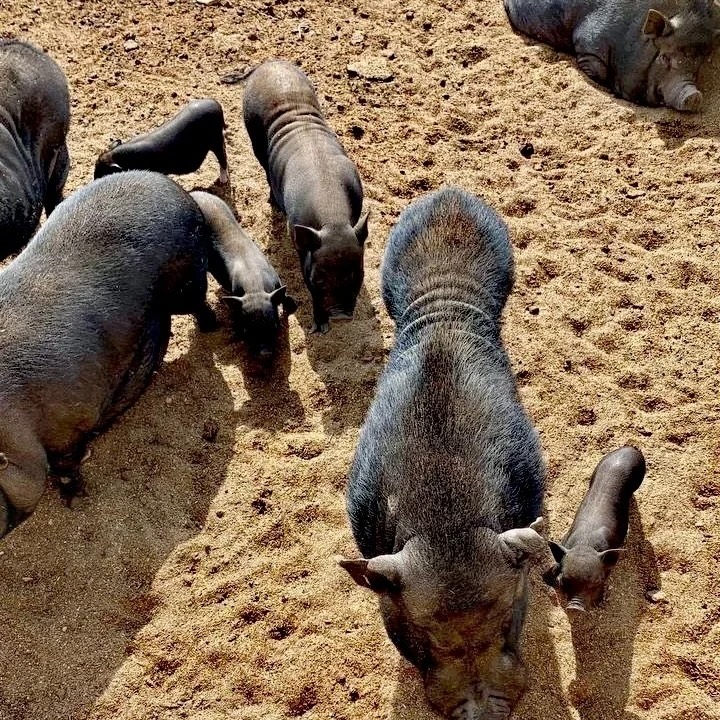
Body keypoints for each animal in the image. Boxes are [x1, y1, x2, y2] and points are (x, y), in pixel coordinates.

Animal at [0, 170, 216, 538]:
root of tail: (173, 187)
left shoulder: (71, 423)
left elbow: (67, 466)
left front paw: (75, 501)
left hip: (188, 279)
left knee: (199, 303)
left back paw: (211, 328)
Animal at [190, 190, 298, 360]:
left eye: (274, 325)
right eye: (248, 330)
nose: (265, 353)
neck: (254, 286)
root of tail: (193, 193)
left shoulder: (276, 280)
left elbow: (284, 295)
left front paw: (294, 306)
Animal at [242, 60, 368, 334]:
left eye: (357, 274)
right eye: (319, 278)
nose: (340, 316)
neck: (333, 219)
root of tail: (269, 63)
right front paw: (319, 329)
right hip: (252, 134)